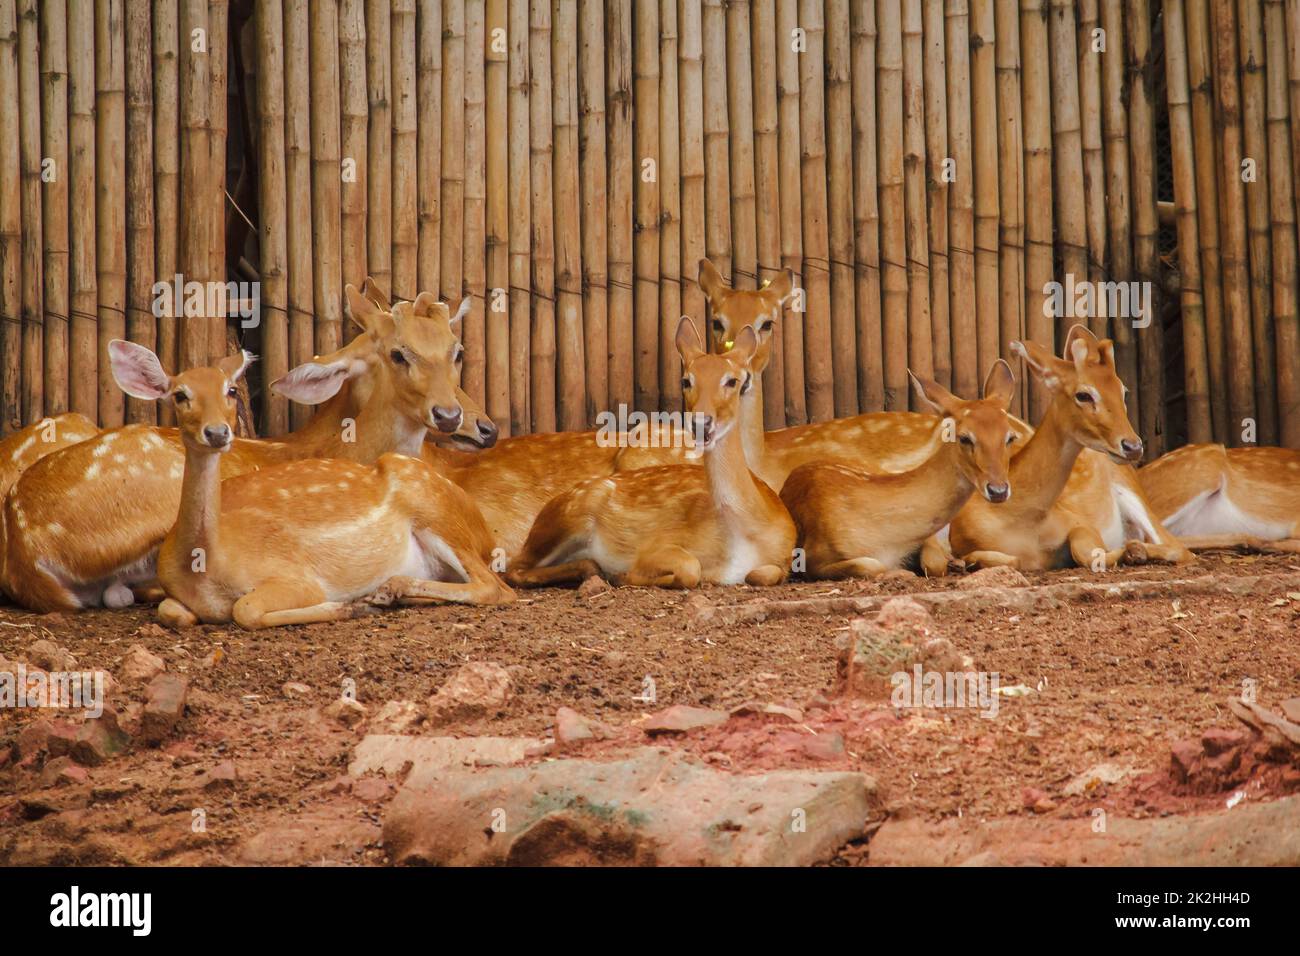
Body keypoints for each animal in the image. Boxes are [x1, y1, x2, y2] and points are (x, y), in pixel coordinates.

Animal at [103, 342, 512, 629]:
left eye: (231, 391)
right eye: (180, 395)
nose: (217, 432)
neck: (203, 568)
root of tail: (482, 528)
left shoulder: (292, 576)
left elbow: (245, 608)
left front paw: (348, 606)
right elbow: (172, 611)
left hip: (436, 511)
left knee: (495, 587)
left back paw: (388, 589)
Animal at [505, 319, 796, 589]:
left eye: (732, 380)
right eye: (686, 380)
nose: (701, 422)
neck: (746, 533)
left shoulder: (784, 558)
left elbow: (764, 573)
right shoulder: (660, 544)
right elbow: (690, 568)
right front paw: (623, 574)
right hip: (570, 514)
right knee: (513, 566)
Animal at [781, 362, 1018, 579]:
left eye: (1010, 437)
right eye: (965, 438)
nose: (998, 490)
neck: (888, 541)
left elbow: (935, 562)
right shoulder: (814, 555)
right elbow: (873, 565)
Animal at [944, 325, 1194, 572]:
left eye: (1123, 390)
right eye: (1083, 394)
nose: (1133, 446)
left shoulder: (1081, 524)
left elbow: (1083, 550)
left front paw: (1128, 552)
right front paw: (965, 561)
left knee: (1179, 548)